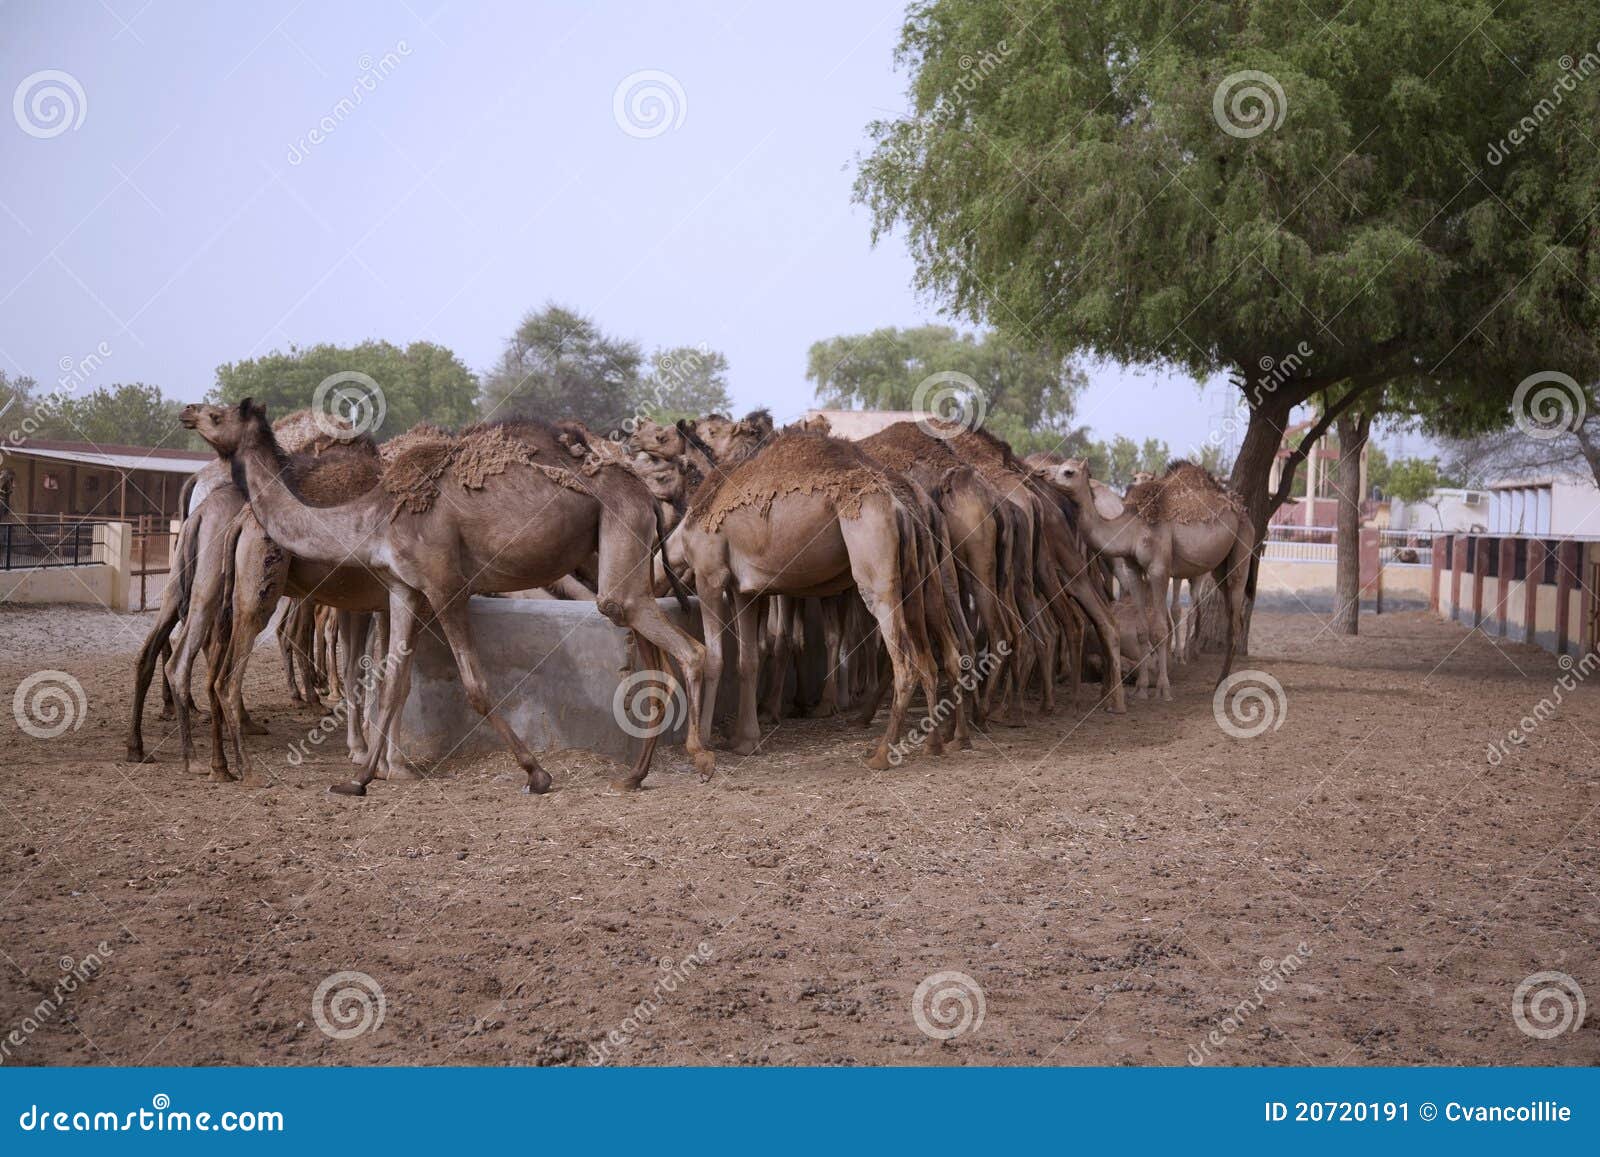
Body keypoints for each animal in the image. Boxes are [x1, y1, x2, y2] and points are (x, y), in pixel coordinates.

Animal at [181, 401, 712, 796]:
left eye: (217, 414)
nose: (186, 412)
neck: (372, 514)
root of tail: (646, 495)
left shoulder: (445, 586)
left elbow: (474, 686)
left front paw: (537, 773)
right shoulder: (404, 589)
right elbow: (393, 682)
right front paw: (358, 780)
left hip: (620, 529)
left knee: (673, 639)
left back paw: (699, 757)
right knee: (641, 635)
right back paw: (634, 775)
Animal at [1036, 458, 1252, 699]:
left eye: (1068, 471)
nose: (1041, 472)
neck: (1130, 527)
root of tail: (1242, 510)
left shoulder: (1159, 569)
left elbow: (1160, 630)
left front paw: (1163, 689)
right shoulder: (1132, 568)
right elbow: (1141, 631)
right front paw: (1140, 688)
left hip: (1243, 549)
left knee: (1235, 619)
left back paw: (1222, 683)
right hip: (1220, 568)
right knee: (1232, 615)